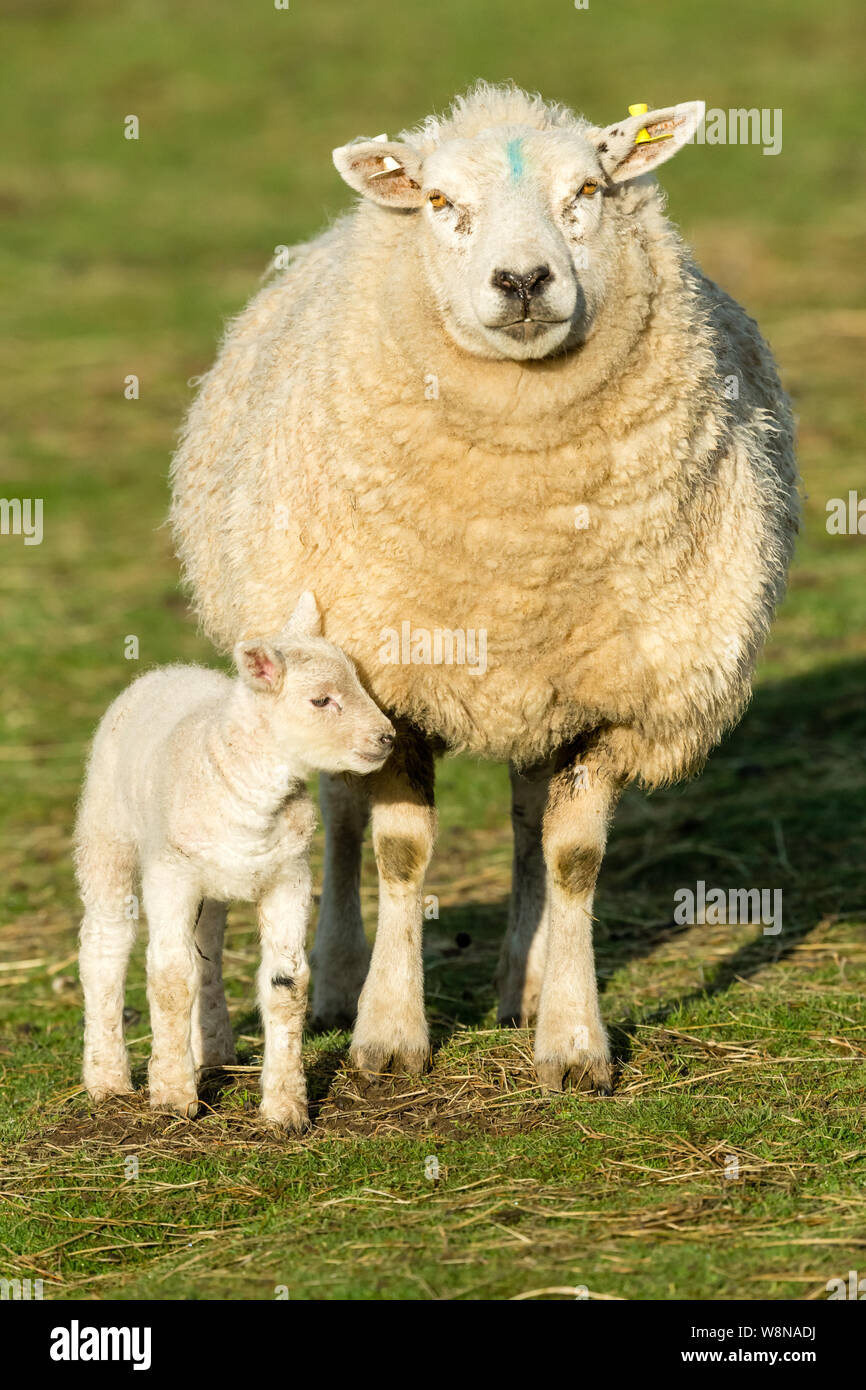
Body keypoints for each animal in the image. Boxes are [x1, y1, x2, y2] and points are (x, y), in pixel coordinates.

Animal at [75, 593, 395, 1130]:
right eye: (320, 700)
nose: (387, 737)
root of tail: (166, 671)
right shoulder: (170, 874)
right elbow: (169, 978)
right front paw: (171, 1097)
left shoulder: (289, 875)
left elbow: (287, 984)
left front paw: (286, 1109)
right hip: (106, 830)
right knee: (105, 943)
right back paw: (107, 1079)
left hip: (213, 881)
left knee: (208, 954)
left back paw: (214, 1052)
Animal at [169, 83, 798, 1093]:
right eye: (438, 201)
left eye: (589, 189)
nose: (524, 282)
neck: (519, 542)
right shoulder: (392, 680)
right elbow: (399, 850)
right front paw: (389, 1035)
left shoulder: (609, 697)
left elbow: (573, 860)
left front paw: (574, 1042)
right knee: (342, 820)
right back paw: (339, 980)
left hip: (537, 690)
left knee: (525, 818)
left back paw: (524, 986)